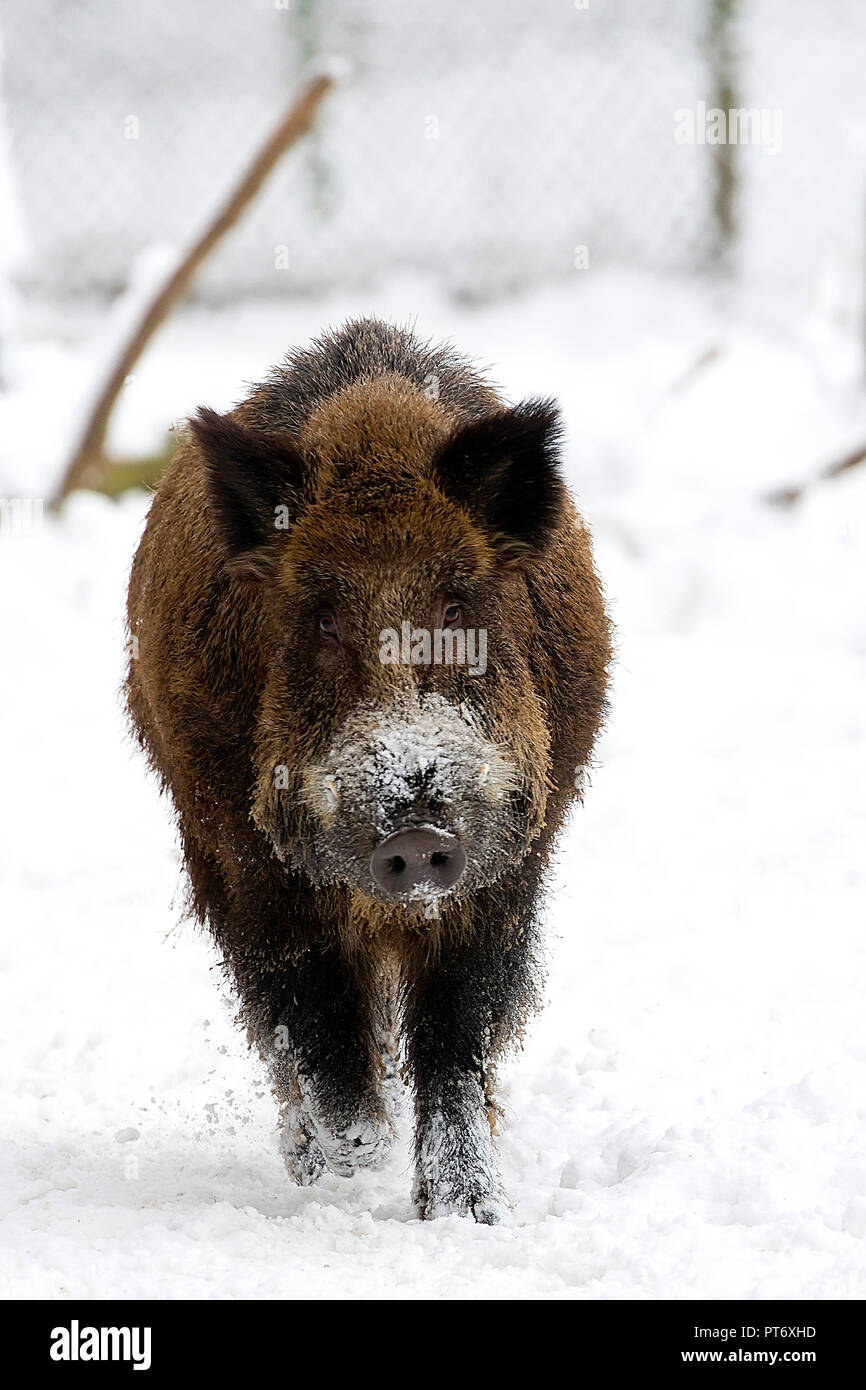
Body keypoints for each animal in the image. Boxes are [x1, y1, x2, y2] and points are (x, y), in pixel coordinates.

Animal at [126, 318, 610, 1222]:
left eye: (455, 607)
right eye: (322, 618)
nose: (414, 830)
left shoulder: (509, 868)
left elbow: (457, 1034)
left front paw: (467, 1214)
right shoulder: (254, 866)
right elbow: (310, 1011)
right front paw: (358, 1153)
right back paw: (314, 1162)